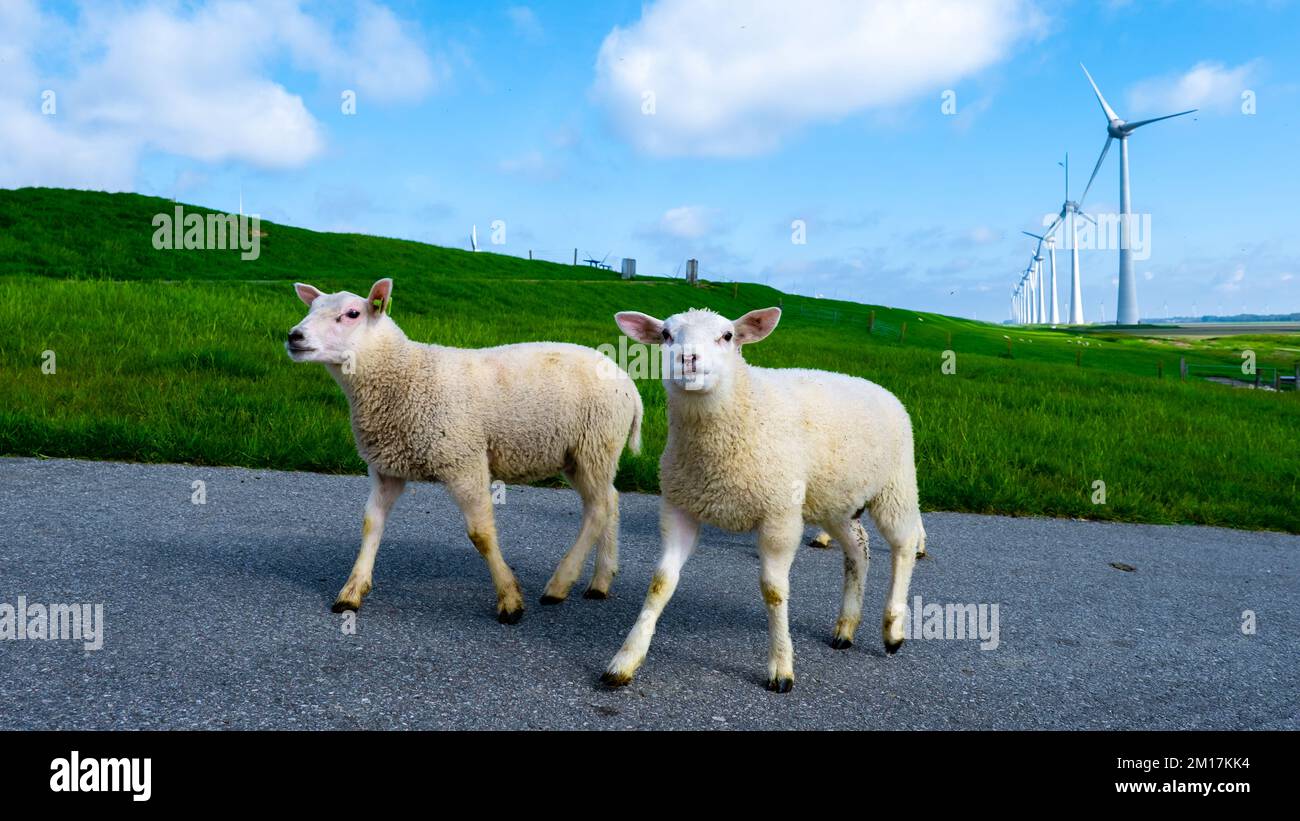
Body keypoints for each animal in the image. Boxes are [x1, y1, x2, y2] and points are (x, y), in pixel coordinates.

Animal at [286, 278, 643, 623]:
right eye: (312, 308)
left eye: (352, 314)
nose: (293, 336)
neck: (405, 374)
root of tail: (630, 384)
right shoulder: (387, 468)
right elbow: (371, 523)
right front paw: (352, 591)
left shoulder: (464, 460)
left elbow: (481, 534)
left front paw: (510, 601)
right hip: (581, 453)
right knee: (609, 500)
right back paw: (600, 581)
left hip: (595, 444)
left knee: (598, 508)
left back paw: (559, 584)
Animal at [602, 306, 925, 692]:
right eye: (666, 334)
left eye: (727, 336)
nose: (687, 359)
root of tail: (880, 388)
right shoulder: (680, 507)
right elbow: (661, 582)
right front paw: (625, 660)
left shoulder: (779, 514)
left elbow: (774, 591)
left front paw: (781, 668)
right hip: (836, 501)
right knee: (857, 551)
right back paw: (846, 627)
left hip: (896, 486)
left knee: (903, 547)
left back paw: (893, 630)